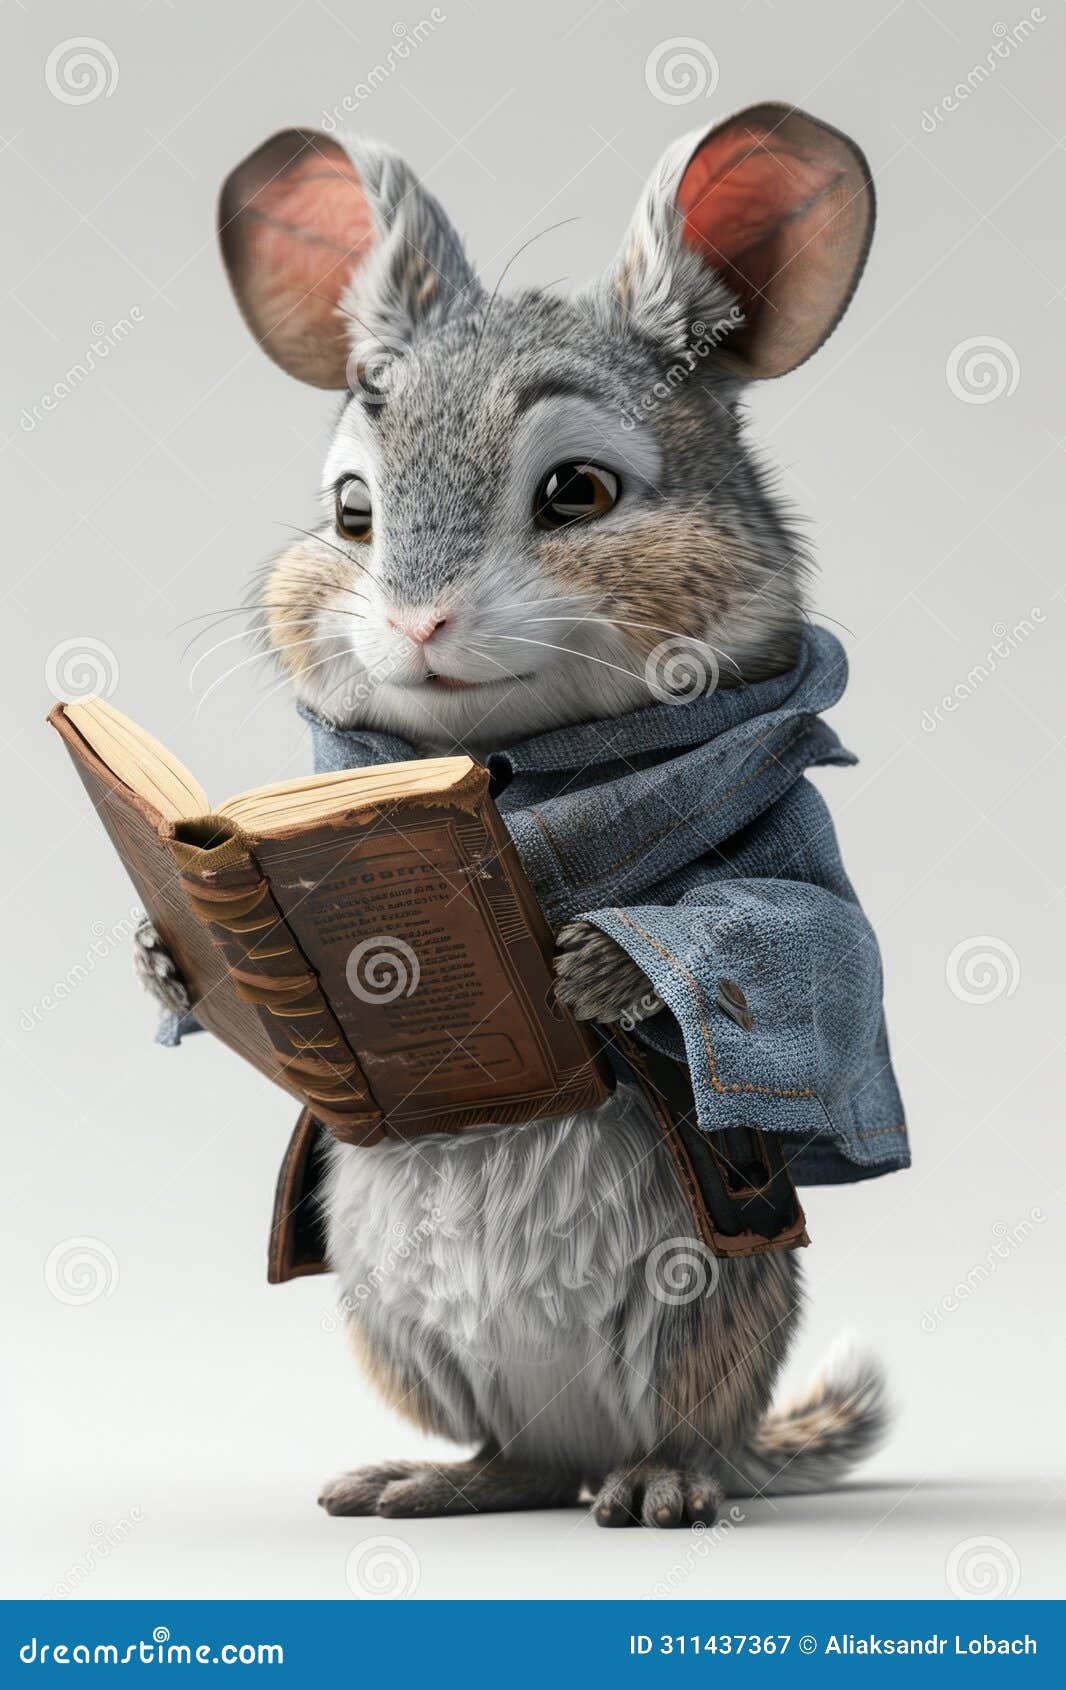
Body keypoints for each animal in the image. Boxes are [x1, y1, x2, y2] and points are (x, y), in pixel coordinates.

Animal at [135, 104, 889, 1527]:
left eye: (577, 491)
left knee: (672, 1435)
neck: (509, 768)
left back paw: (660, 1488)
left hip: (697, 1317)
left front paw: (593, 966)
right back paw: (420, 1482)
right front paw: (162, 955)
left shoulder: (784, 858)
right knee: (514, 1457)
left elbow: (795, 926)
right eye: (352, 510)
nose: (416, 622)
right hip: (408, 1338)